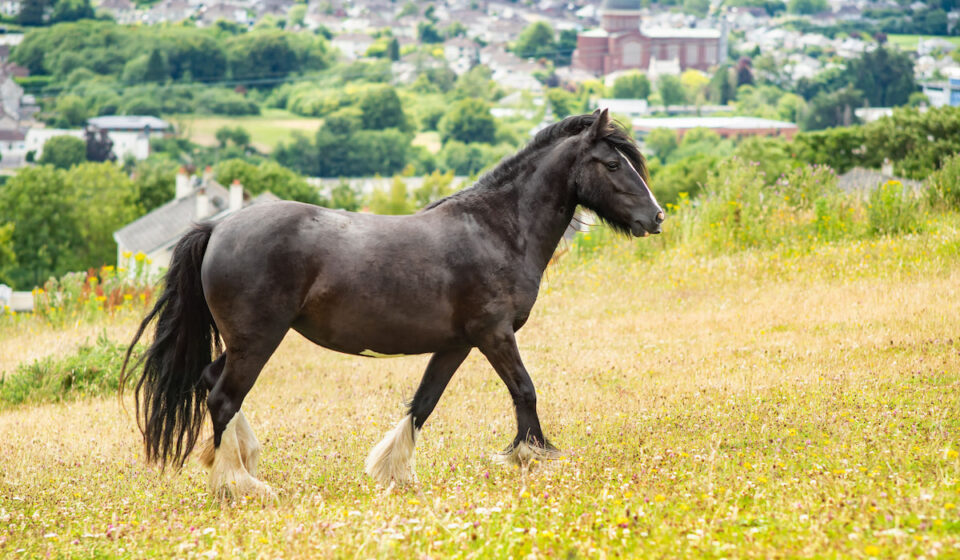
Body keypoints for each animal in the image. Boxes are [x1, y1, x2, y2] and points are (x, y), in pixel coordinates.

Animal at [119, 109, 664, 501]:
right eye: (613, 164)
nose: (655, 217)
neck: (496, 228)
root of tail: (217, 227)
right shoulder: (494, 334)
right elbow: (524, 390)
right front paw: (533, 456)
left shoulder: (458, 345)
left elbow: (423, 404)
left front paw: (393, 472)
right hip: (257, 340)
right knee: (223, 397)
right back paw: (241, 485)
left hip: (243, 343)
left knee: (211, 382)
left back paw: (239, 463)